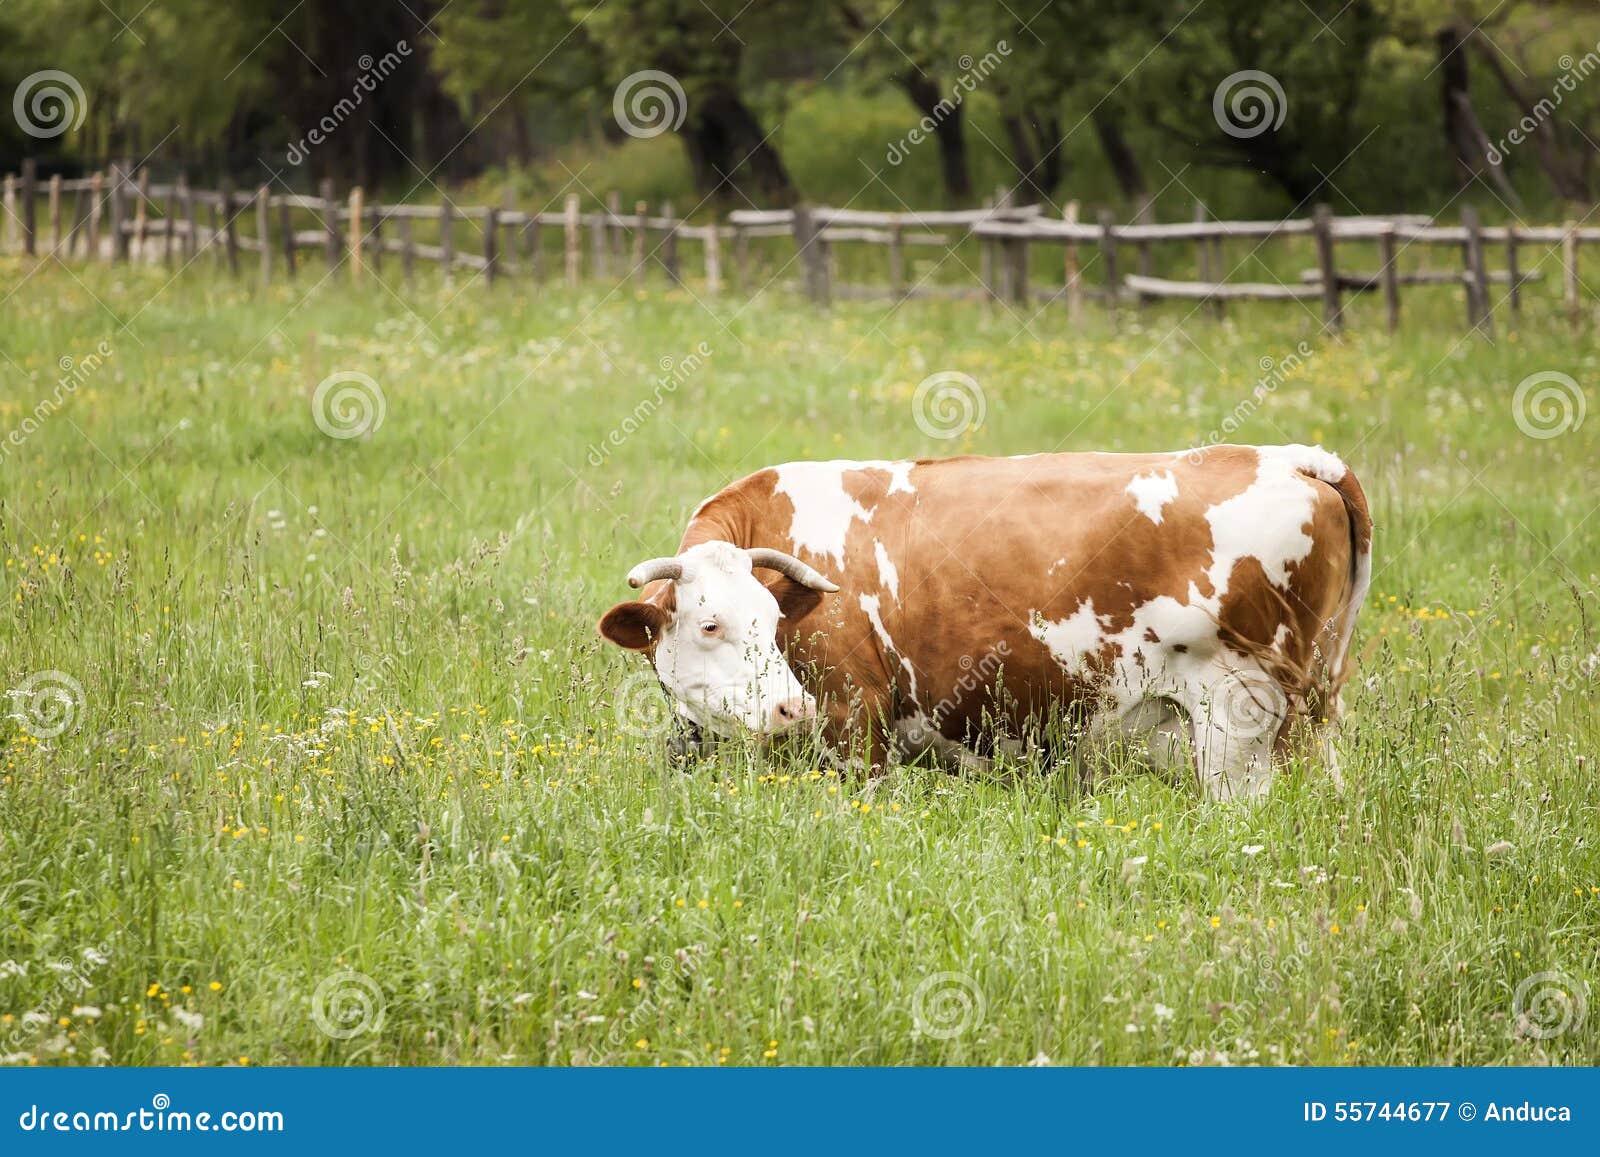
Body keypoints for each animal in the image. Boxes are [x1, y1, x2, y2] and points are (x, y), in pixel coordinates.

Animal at [598, 444, 1372, 801]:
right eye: (711, 625)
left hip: (1237, 728)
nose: (790, 706)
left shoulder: (857, 718)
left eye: (768, 614)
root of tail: (1289, 457)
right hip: (1305, 726)